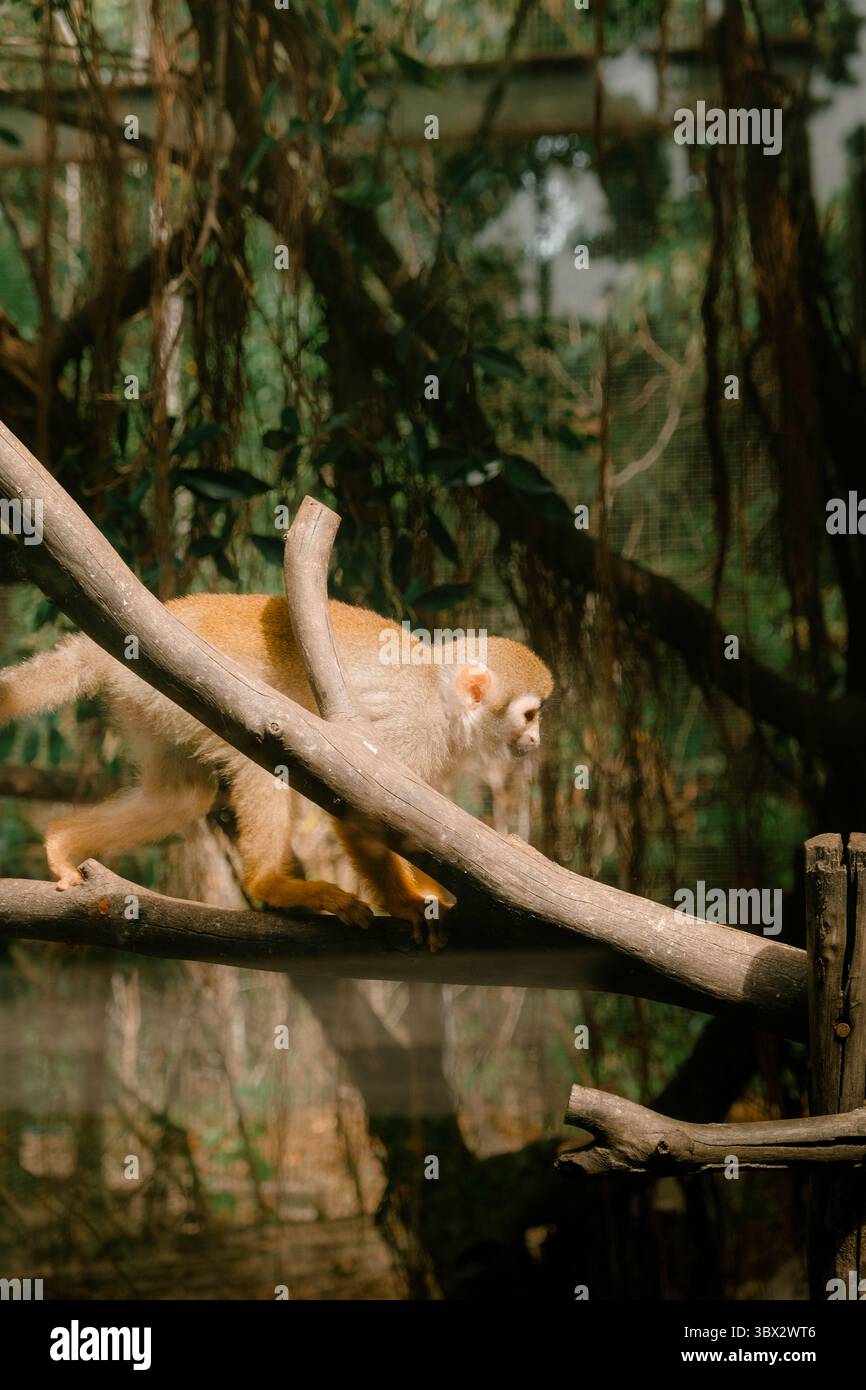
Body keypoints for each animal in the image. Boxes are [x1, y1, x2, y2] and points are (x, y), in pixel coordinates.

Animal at [0, 595, 553, 947]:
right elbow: (364, 812)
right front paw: (409, 905)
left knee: (179, 798)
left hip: (148, 704)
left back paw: (64, 841)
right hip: (175, 693)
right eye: (529, 714)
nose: (536, 741)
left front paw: (429, 892)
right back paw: (270, 885)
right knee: (265, 755)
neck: (441, 698)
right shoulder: (409, 729)